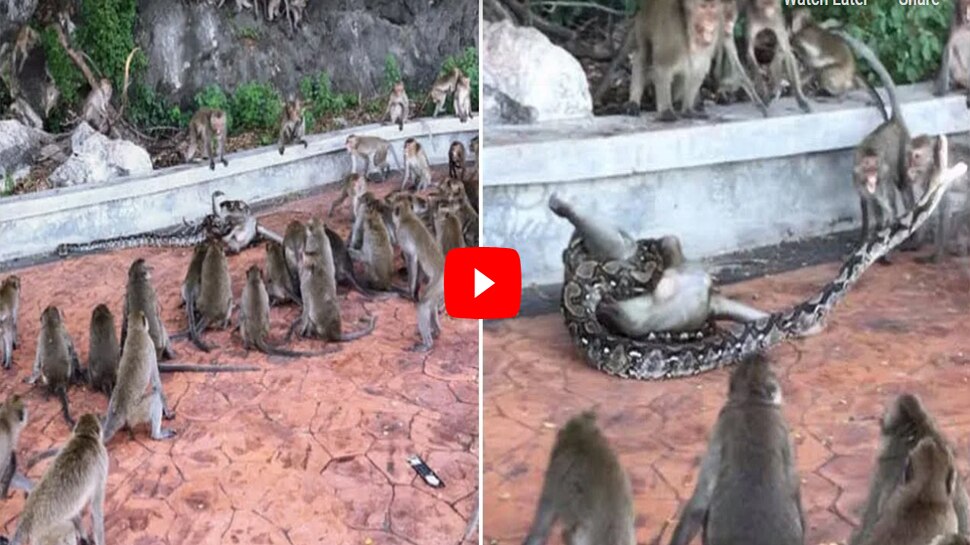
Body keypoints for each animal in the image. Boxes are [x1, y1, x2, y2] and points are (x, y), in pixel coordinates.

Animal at [8, 414, 107, 545]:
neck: (85, 436)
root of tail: (27, 518)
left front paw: (83, 532)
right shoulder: (102, 460)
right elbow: (96, 507)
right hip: (48, 533)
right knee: (68, 528)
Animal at [103, 310, 176, 443]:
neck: (135, 331)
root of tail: (120, 409)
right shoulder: (150, 345)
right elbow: (156, 383)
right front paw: (168, 413)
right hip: (136, 414)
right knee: (155, 397)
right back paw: (157, 435)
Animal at [392, 202, 445, 351]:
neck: (408, 217)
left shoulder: (402, 234)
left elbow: (412, 257)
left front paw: (411, 290)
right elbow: (418, 265)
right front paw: (415, 289)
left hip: (438, 283)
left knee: (423, 305)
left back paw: (427, 344)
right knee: (431, 304)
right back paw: (436, 331)